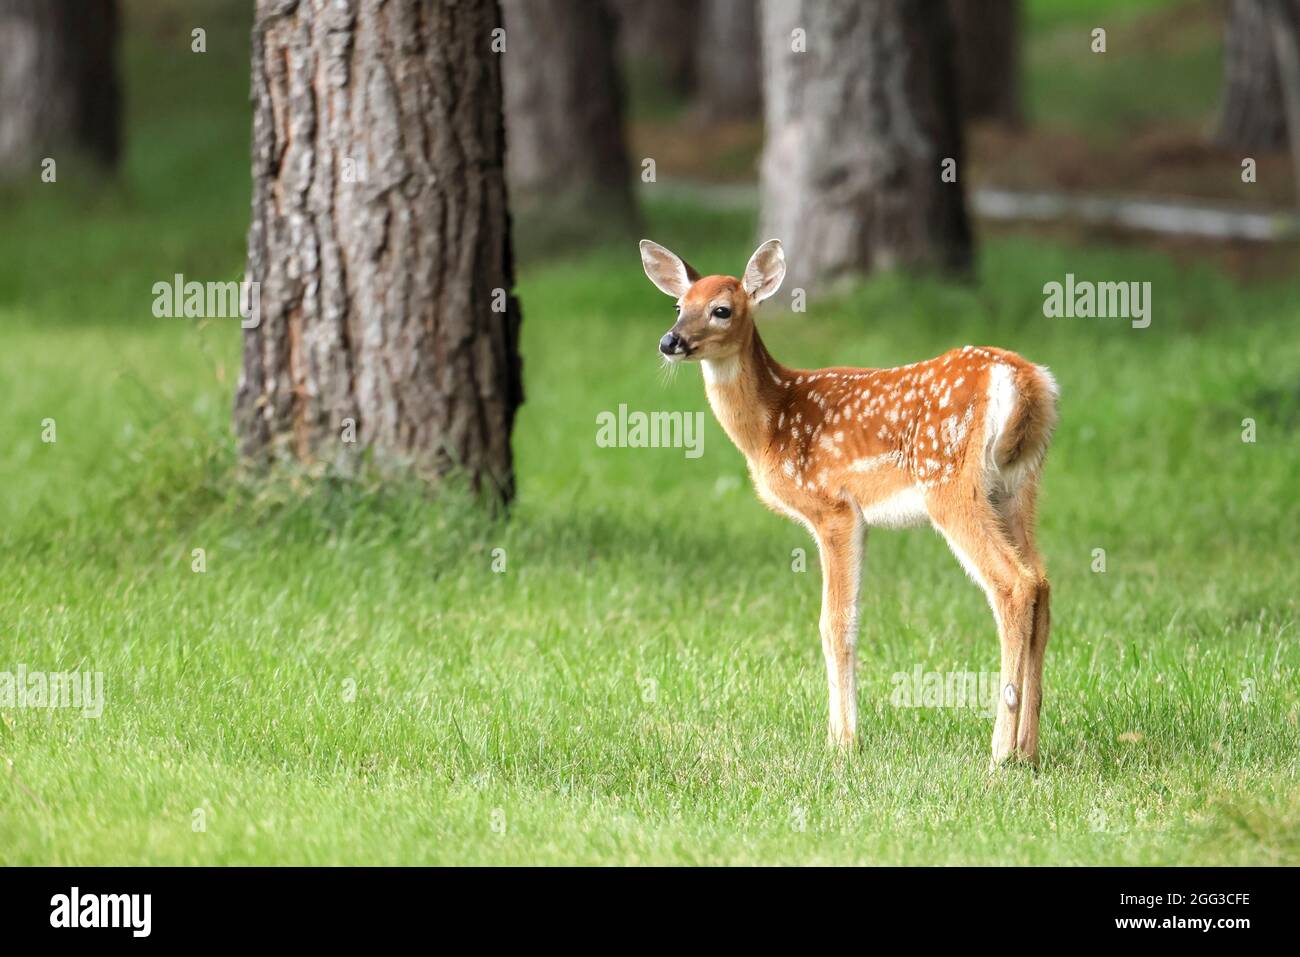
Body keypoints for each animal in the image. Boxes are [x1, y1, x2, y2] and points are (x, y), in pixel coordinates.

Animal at [639, 238, 1059, 766]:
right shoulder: (855, 515)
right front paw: (843, 736)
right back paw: (1029, 751)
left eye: (721, 310)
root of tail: (1026, 381)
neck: (772, 424)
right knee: (1041, 582)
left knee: (1014, 584)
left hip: (948, 482)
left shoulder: (832, 507)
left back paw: (1000, 752)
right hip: (1017, 486)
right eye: (679, 306)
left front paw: (842, 742)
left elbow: (835, 622)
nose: (669, 341)